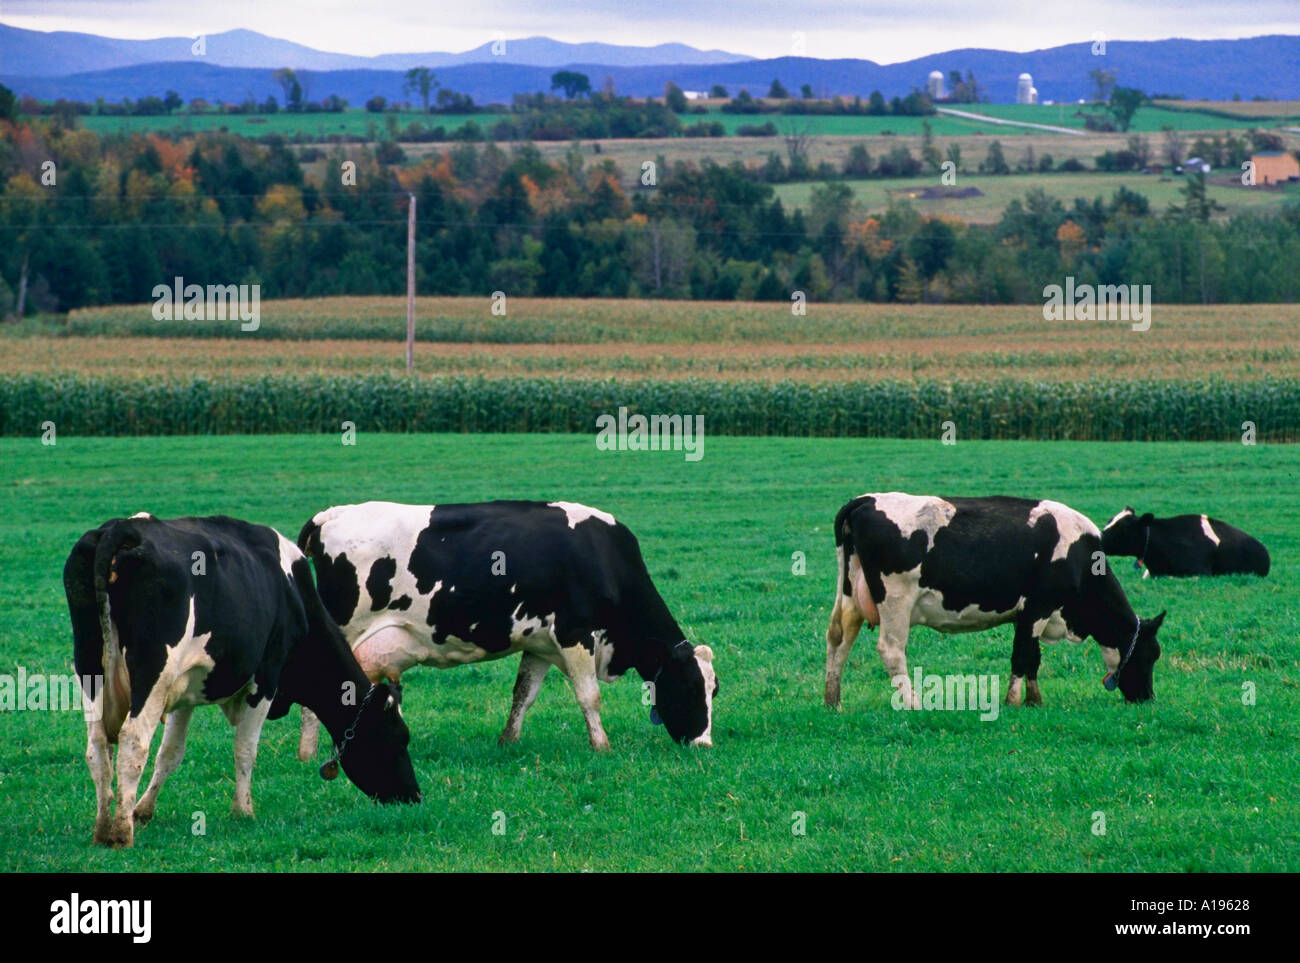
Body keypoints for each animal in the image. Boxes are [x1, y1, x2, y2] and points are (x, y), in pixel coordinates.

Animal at [63, 513, 421, 848]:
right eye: (398, 737)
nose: (414, 797)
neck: (294, 594)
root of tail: (121, 529)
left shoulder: (187, 687)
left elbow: (170, 753)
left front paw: (144, 809)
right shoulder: (265, 679)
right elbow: (246, 749)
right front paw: (243, 811)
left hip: (90, 668)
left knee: (97, 748)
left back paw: (103, 827)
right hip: (152, 673)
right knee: (132, 743)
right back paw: (121, 832)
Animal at [294, 500, 717, 753]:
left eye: (715, 689)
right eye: (690, 686)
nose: (704, 744)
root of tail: (333, 514)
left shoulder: (540, 643)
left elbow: (523, 695)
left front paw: (508, 741)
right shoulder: (575, 634)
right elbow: (589, 696)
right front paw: (602, 746)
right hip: (341, 630)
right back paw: (307, 755)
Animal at [824, 493, 1166, 710]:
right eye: (1150, 655)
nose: (1147, 698)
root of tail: (866, 500)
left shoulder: (1026, 615)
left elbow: (1032, 657)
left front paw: (1034, 700)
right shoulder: (1039, 607)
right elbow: (1022, 656)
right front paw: (1013, 701)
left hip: (850, 595)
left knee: (839, 639)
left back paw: (832, 701)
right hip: (896, 598)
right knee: (892, 650)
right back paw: (912, 704)